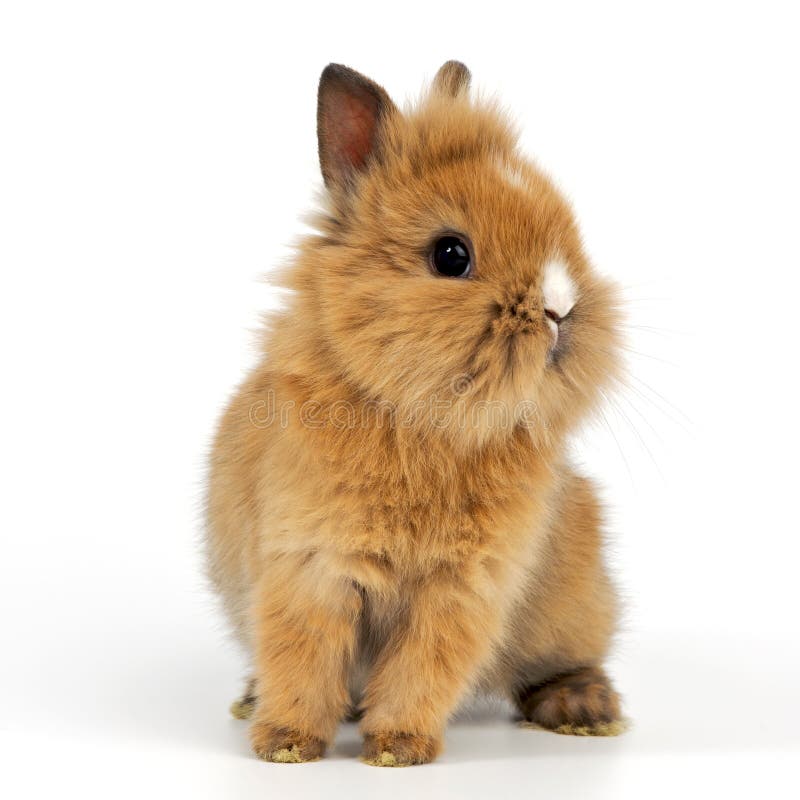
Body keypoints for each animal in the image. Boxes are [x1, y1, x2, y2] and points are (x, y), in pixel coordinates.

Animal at [205, 60, 624, 767]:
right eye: (451, 255)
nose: (561, 308)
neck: (424, 422)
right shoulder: (308, 569)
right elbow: (301, 660)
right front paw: (286, 745)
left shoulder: (461, 591)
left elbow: (421, 670)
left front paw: (397, 750)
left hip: (570, 607)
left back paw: (585, 711)